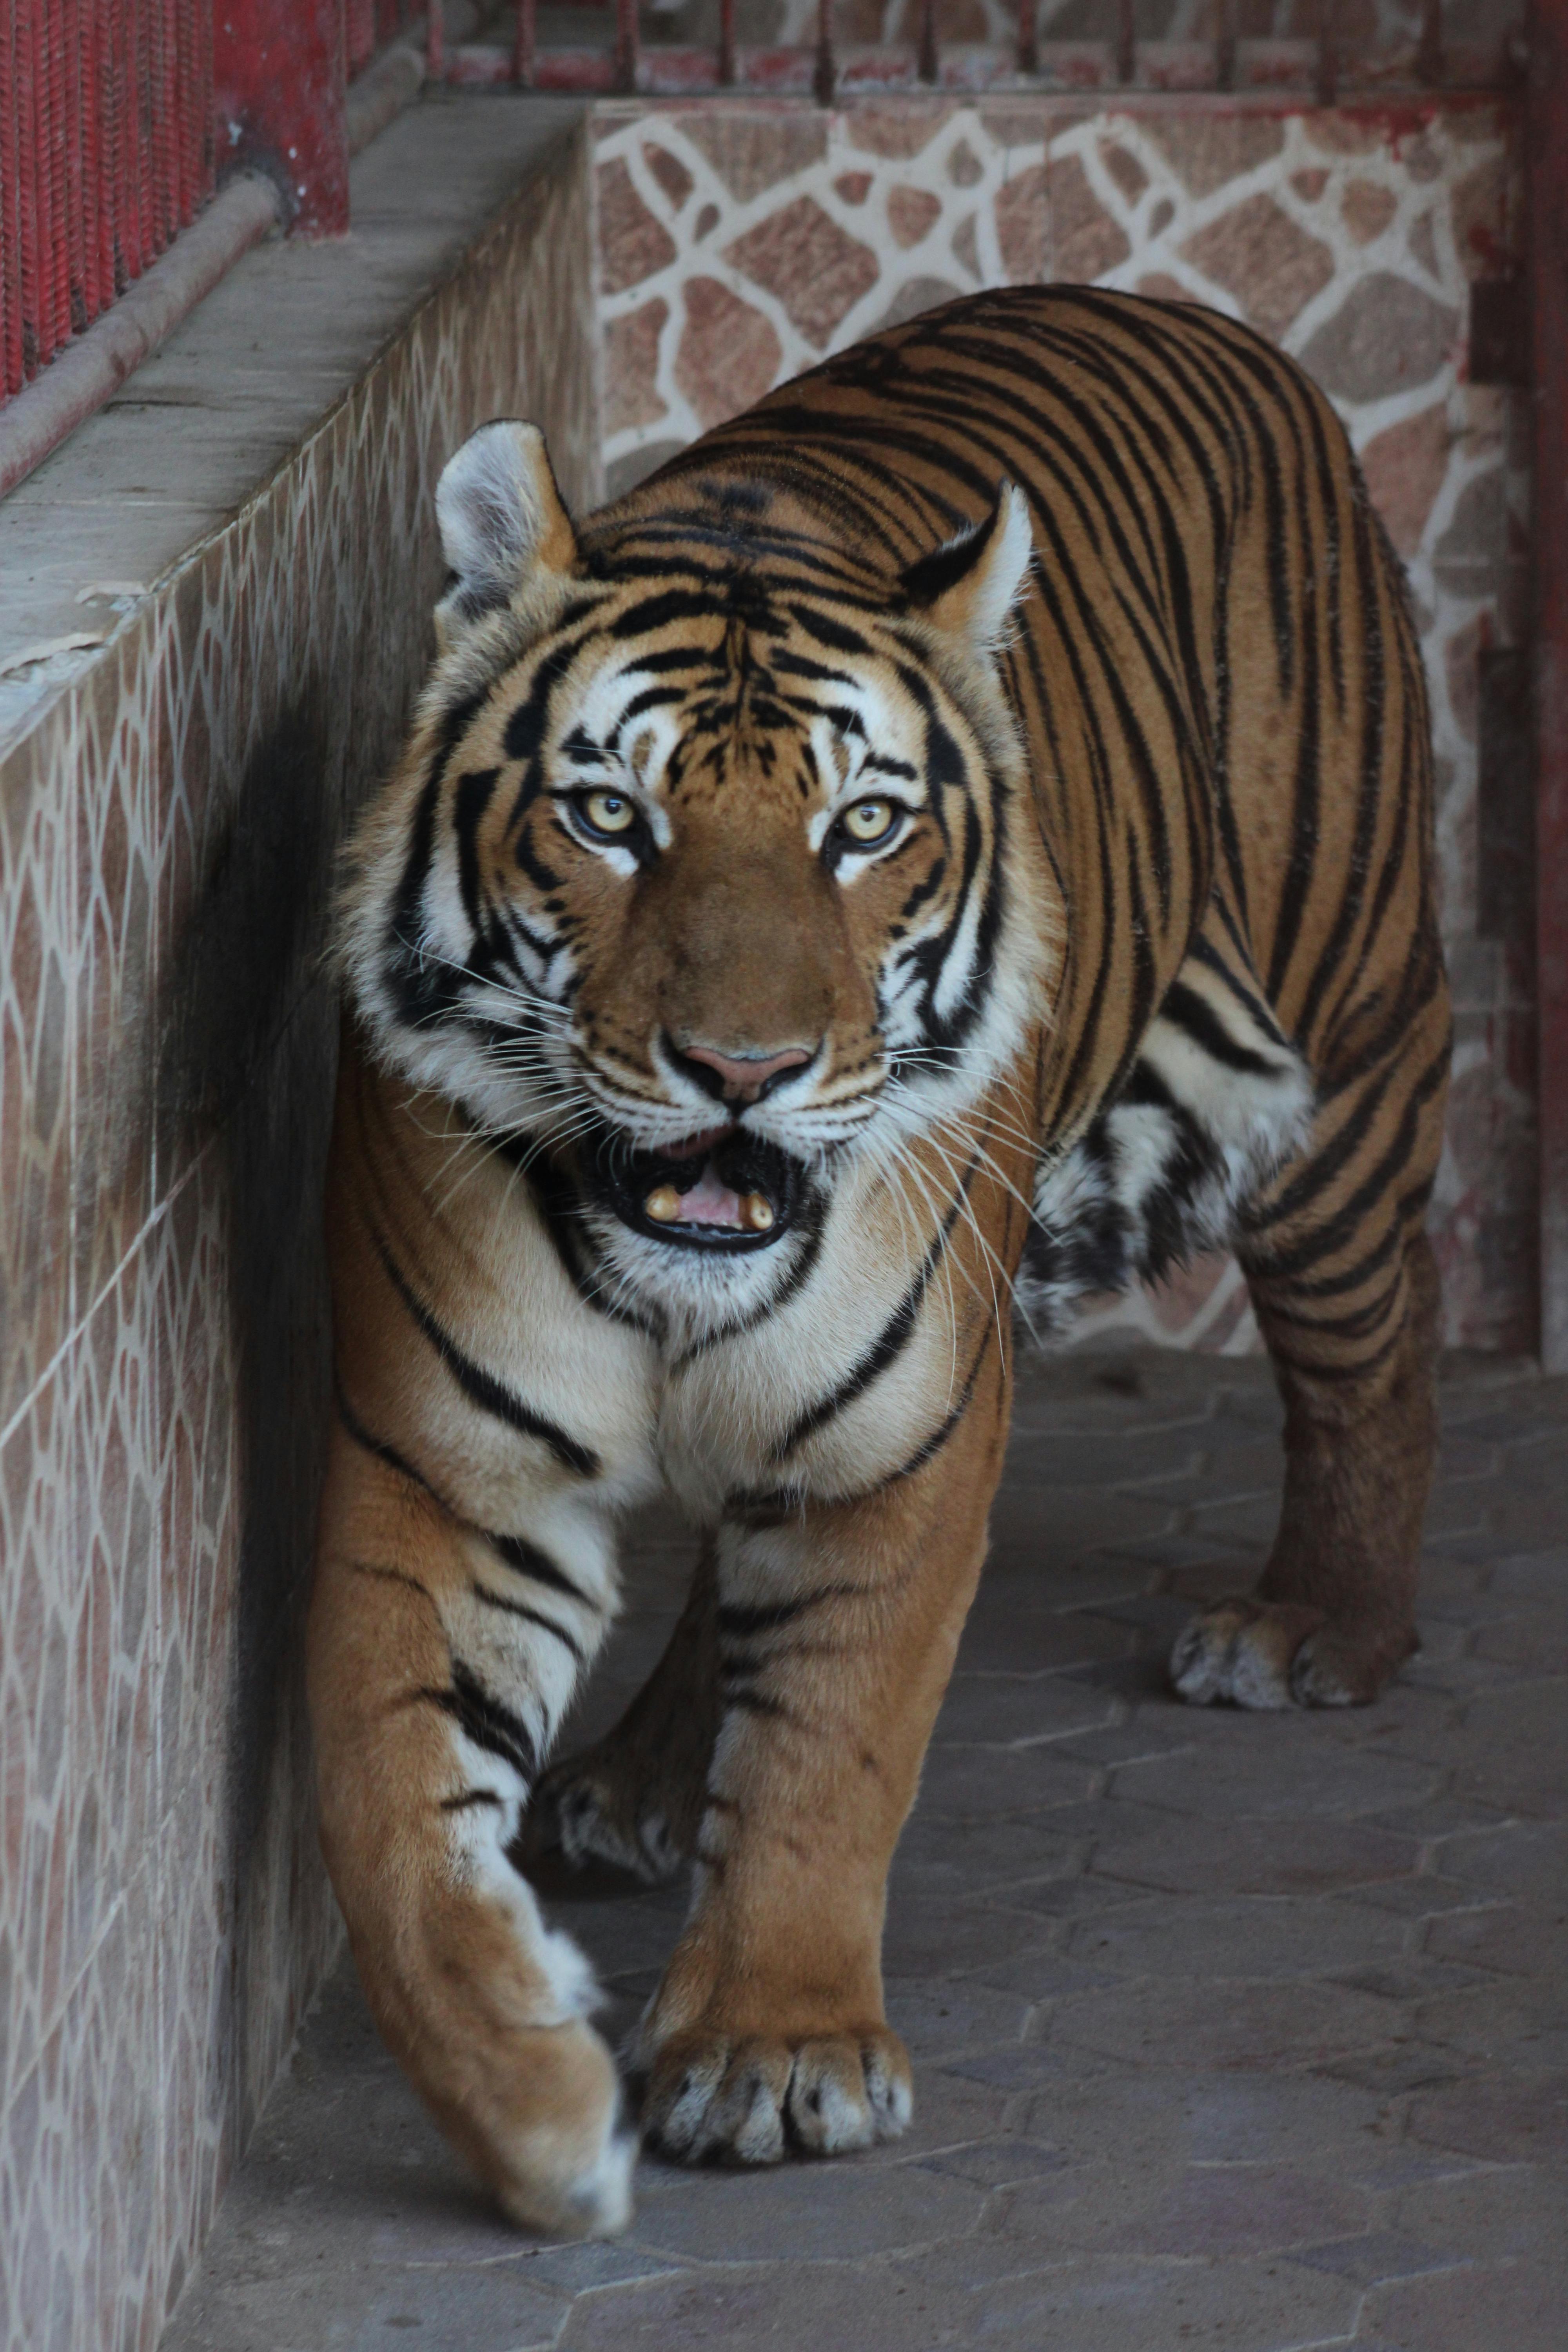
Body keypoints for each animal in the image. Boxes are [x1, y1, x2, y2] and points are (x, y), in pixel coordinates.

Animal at [308, 286, 1450, 2238]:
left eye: (862, 828)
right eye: (608, 819)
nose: (742, 1069)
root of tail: (1190, 314)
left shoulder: (898, 1442)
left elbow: (831, 1749)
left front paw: (774, 2053)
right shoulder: (447, 1468)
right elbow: (397, 1827)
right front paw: (533, 2110)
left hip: (1345, 1037)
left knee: (1371, 1344)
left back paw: (1318, 1622)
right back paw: (641, 1775)